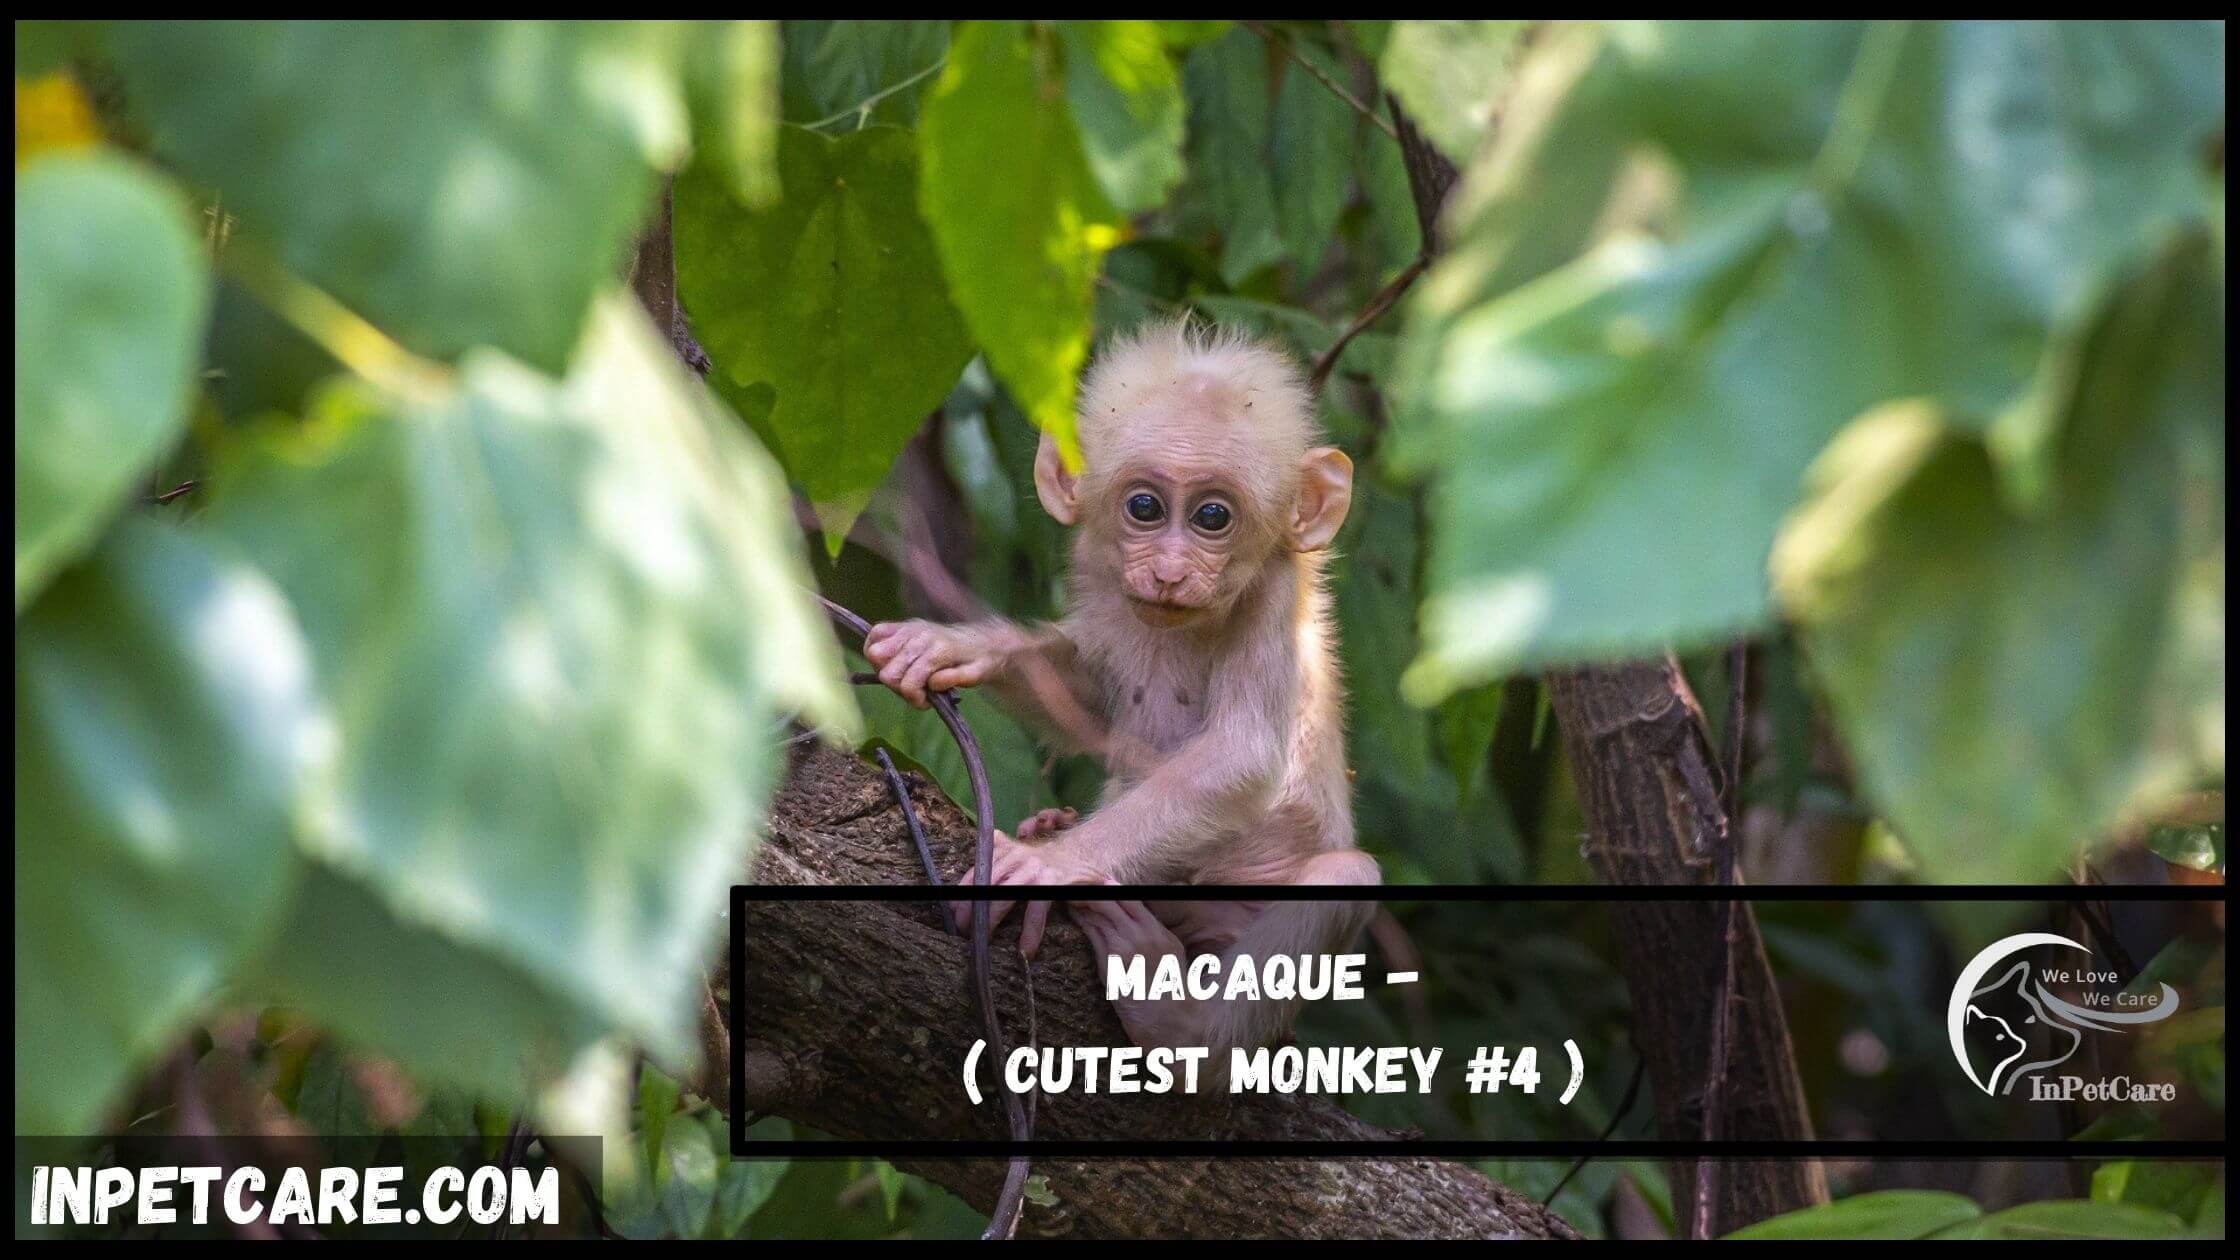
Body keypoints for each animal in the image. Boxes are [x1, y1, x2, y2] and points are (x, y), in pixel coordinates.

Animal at [863, 318, 1378, 1068]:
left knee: (1347, 877)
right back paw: (1048, 823)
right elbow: (1089, 698)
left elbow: (1245, 754)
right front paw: (957, 648)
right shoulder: (1104, 578)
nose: (1168, 572)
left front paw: (1052, 864)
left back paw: (1181, 1028)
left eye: (1213, 517)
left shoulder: (1275, 594)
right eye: (1144, 507)